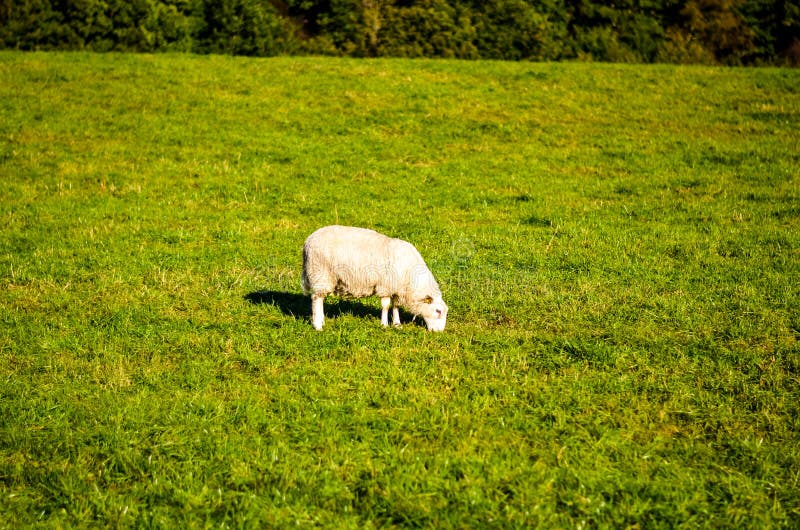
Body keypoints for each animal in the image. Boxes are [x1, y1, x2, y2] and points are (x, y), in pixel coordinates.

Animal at [302, 225, 448, 332]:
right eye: (438, 311)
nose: (439, 332)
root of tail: (308, 241)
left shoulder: (396, 288)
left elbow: (396, 305)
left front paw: (397, 324)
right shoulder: (385, 286)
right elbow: (386, 306)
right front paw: (384, 324)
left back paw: (321, 321)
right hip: (320, 274)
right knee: (317, 299)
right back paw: (318, 325)